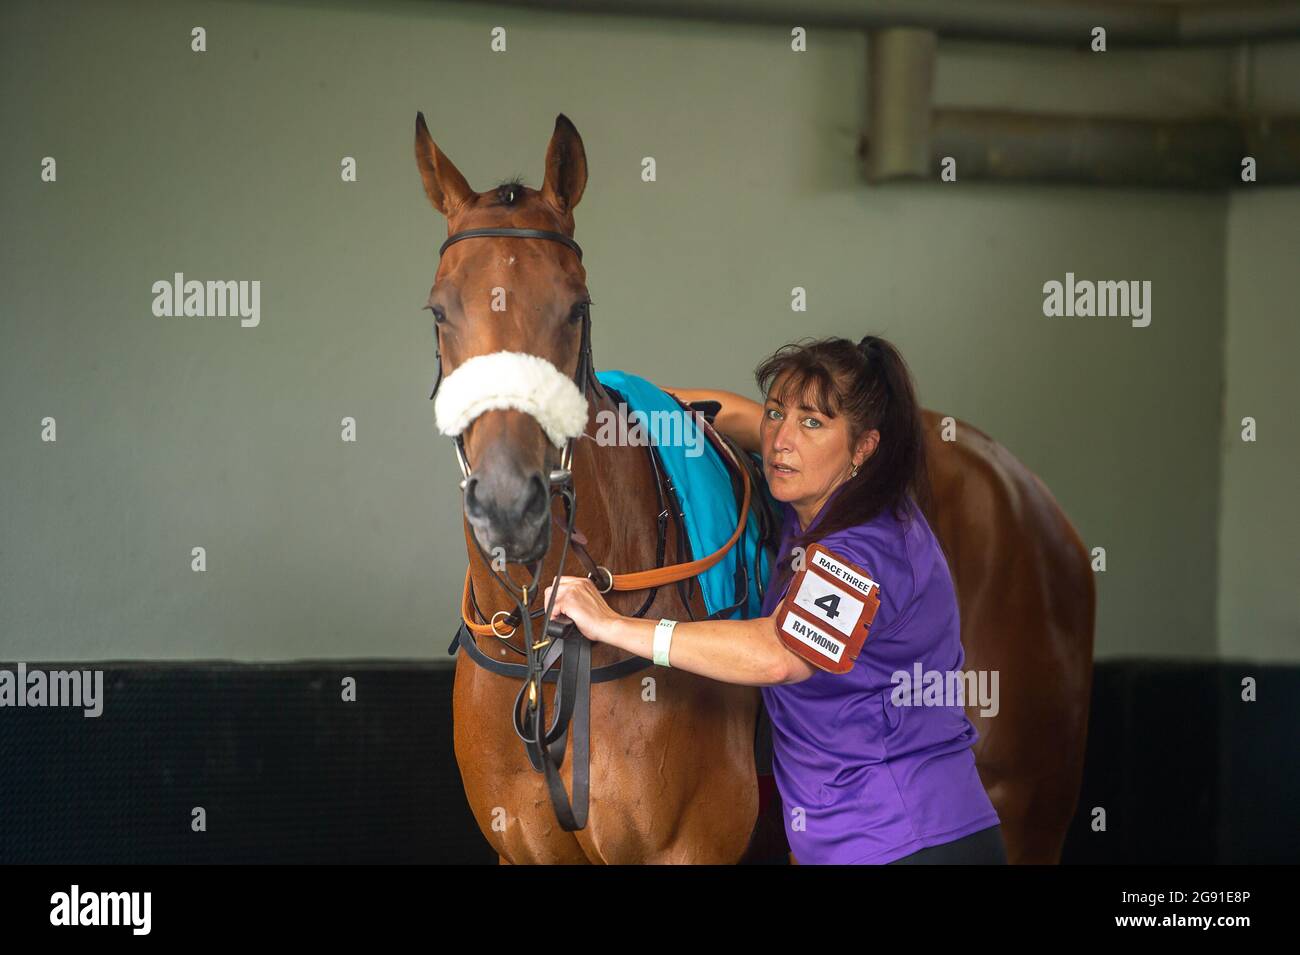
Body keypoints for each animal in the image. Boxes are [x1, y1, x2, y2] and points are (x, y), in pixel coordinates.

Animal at [414, 112, 1095, 864]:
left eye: (575, 308)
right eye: (440, 312)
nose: (509, 504)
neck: (555, 654)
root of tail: (1027, 496)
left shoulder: (688, 849)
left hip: (1029, 810)